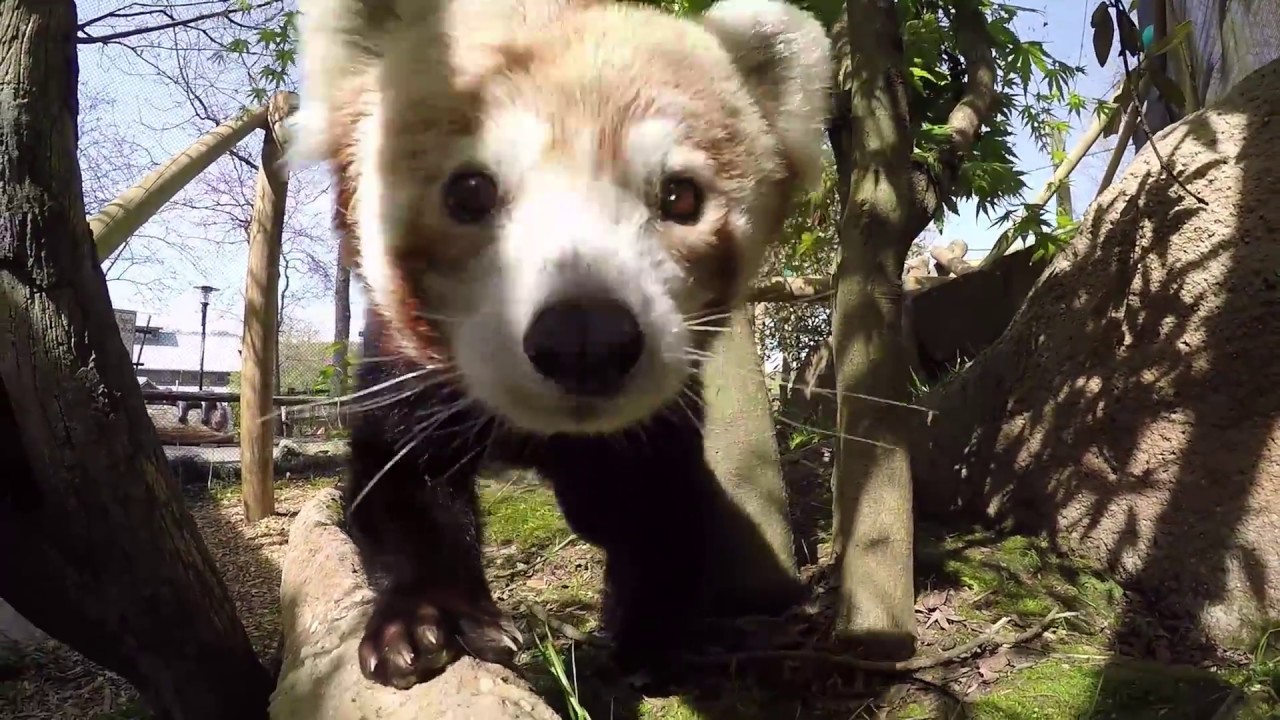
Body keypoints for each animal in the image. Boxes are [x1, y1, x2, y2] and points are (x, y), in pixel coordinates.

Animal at [290, 0, 833, 690]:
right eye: (470, 190)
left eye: (680, 196)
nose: (585, 339)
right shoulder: (404, 370)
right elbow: (400, 486)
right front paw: (423, 619)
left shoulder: (651, 424)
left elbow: (658, 516)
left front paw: (645, 644)